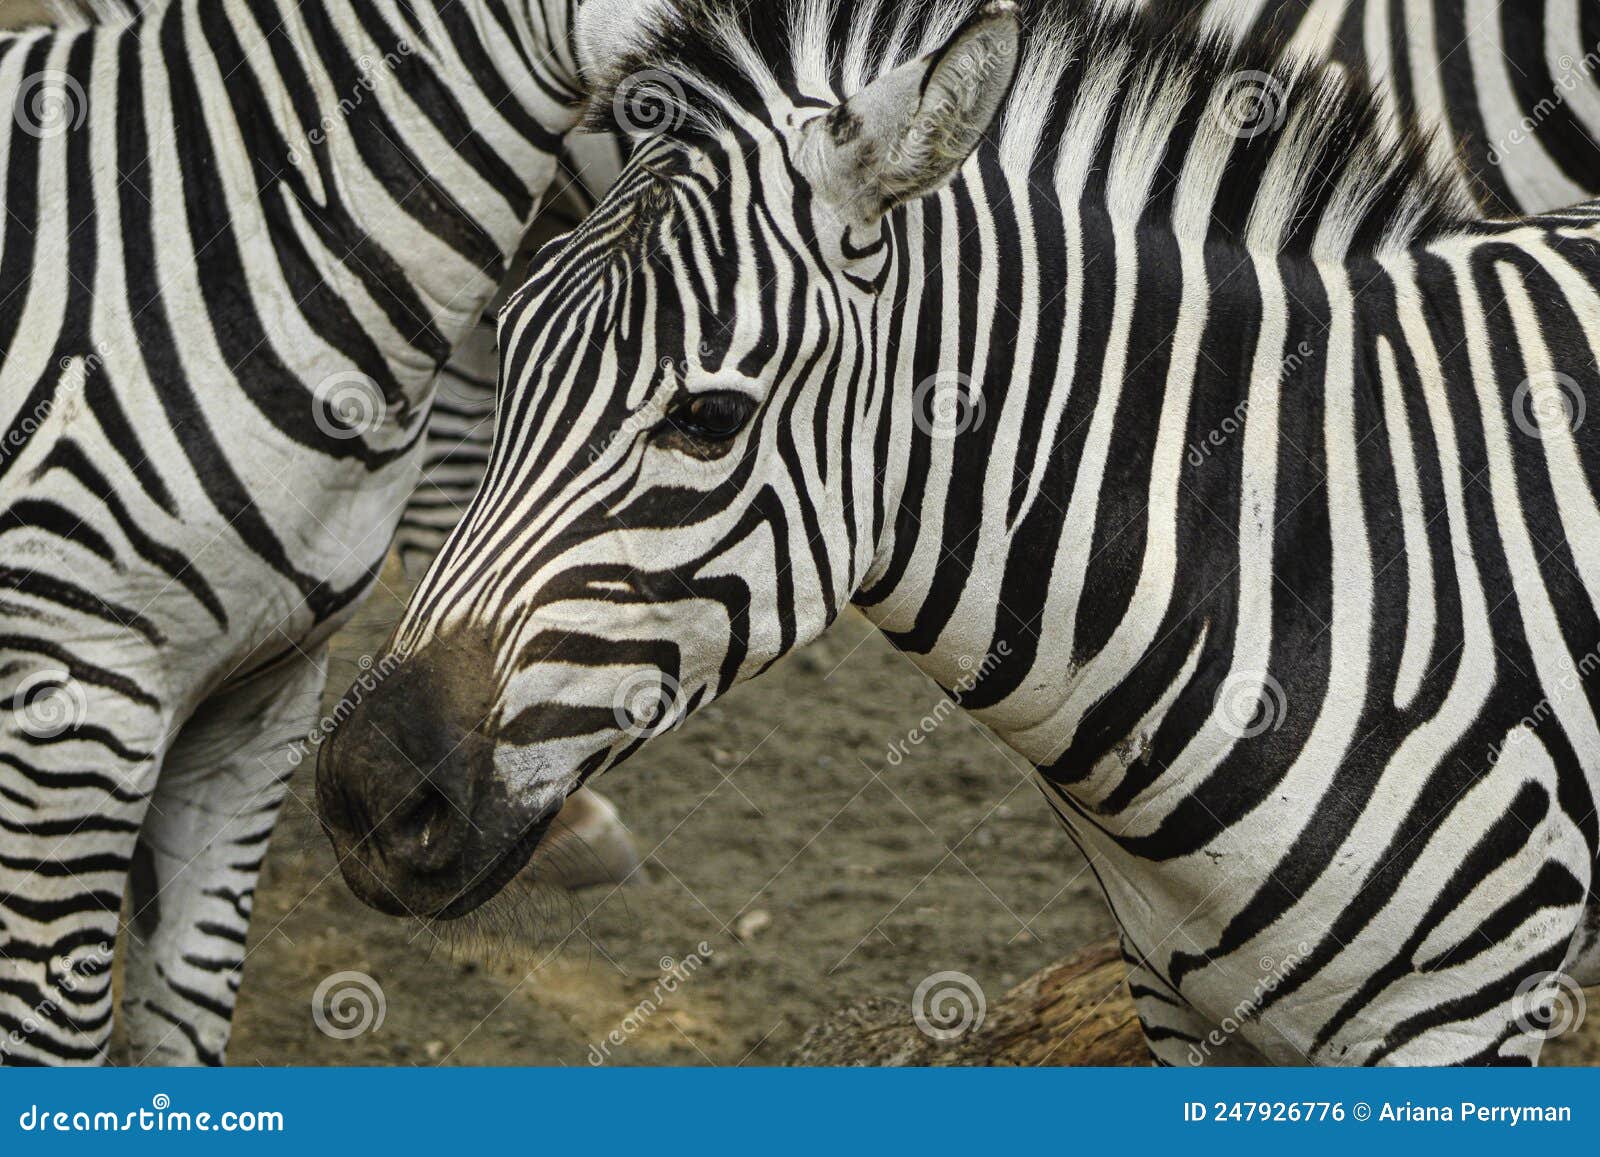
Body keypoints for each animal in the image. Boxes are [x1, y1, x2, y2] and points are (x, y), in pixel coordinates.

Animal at [321, 0, 1600, 1064]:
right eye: (514, 342)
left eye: (708, 418)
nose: (368, 794)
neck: (1297, 557)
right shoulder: (1180, 1010)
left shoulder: (1462, 1023)